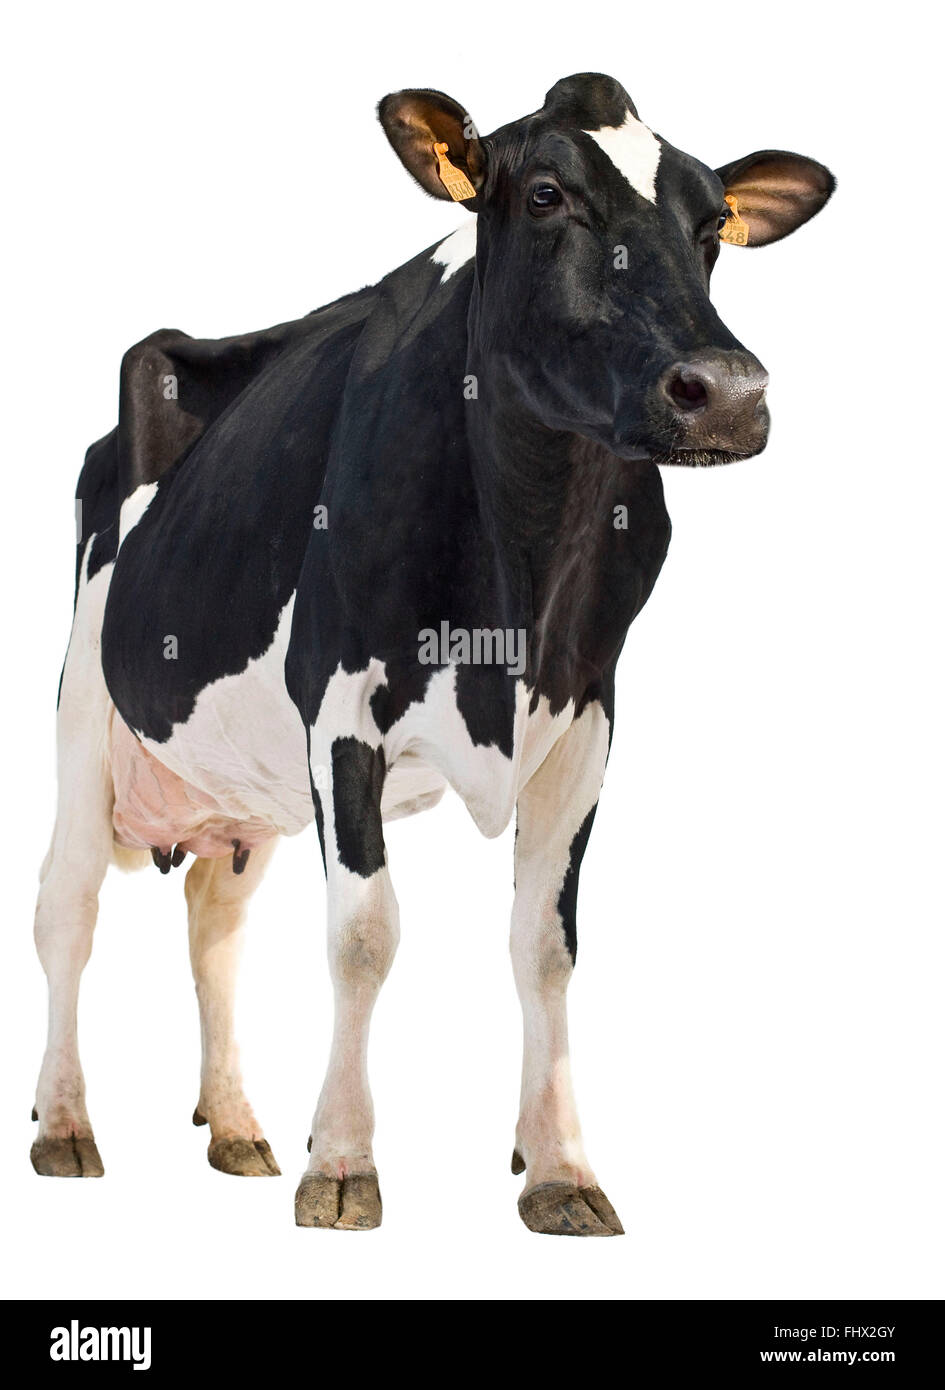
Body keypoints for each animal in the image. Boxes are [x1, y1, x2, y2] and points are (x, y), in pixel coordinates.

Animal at [32, 73, 834, 1236]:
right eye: (544, 193)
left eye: (715, 219)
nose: (726, 390)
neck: (520, 578)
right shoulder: (339, 706)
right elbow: (364, 934)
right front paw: (343, 1164)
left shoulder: (586, 716)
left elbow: (546, 946)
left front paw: (560, 1168)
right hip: (86, 711)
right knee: (67, 908)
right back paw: (63, 1125)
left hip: (238, 781)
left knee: (214, 922)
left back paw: (237, 1126)